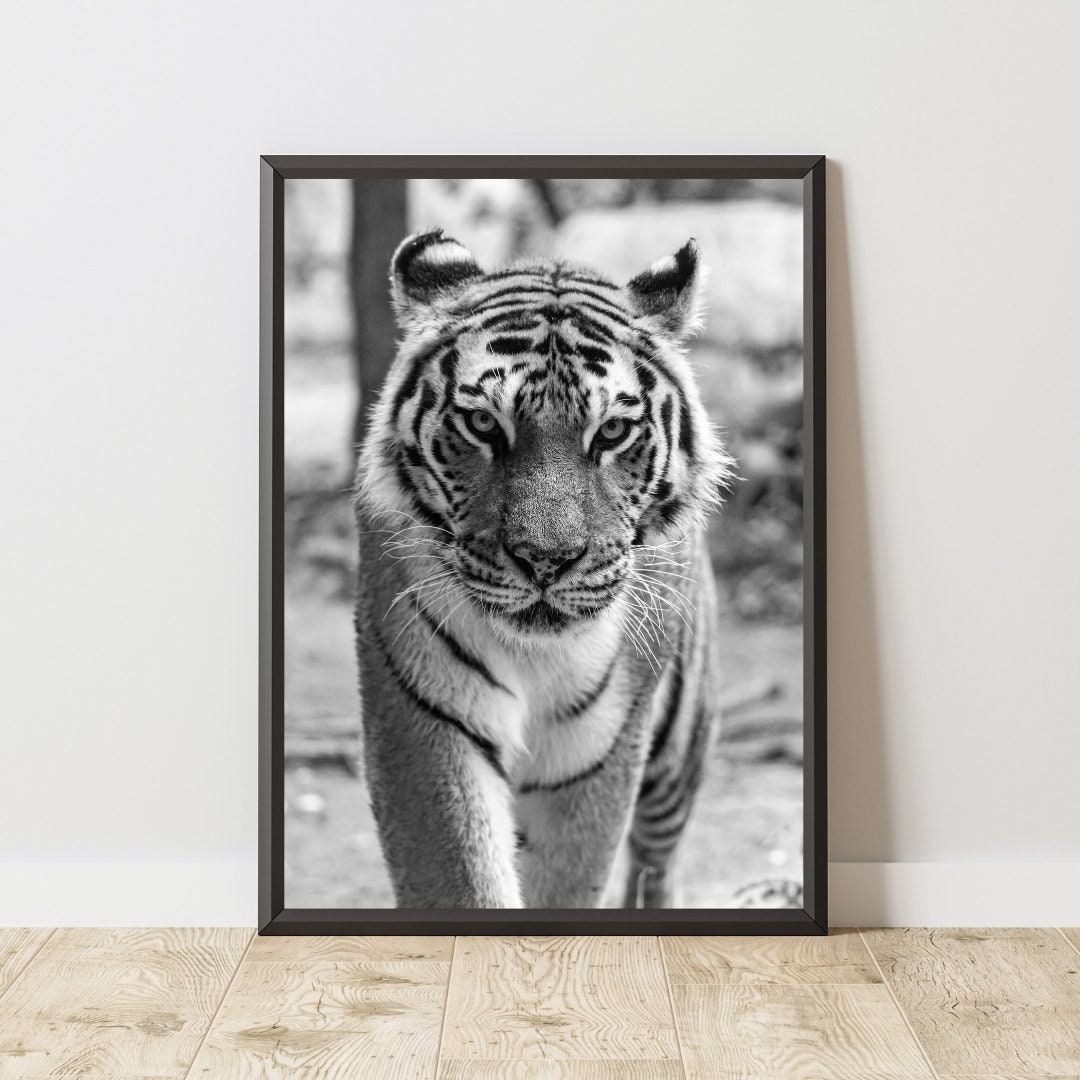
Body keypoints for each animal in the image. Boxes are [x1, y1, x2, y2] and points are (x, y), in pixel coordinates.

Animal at [353, 228, 734, 908]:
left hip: (679, 746)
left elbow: (570, 879)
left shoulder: (597, 748)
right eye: (483, 423)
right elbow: (462, 877)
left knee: (657, 860)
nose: (546, 559)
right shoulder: (426, 719)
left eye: (611, 432)